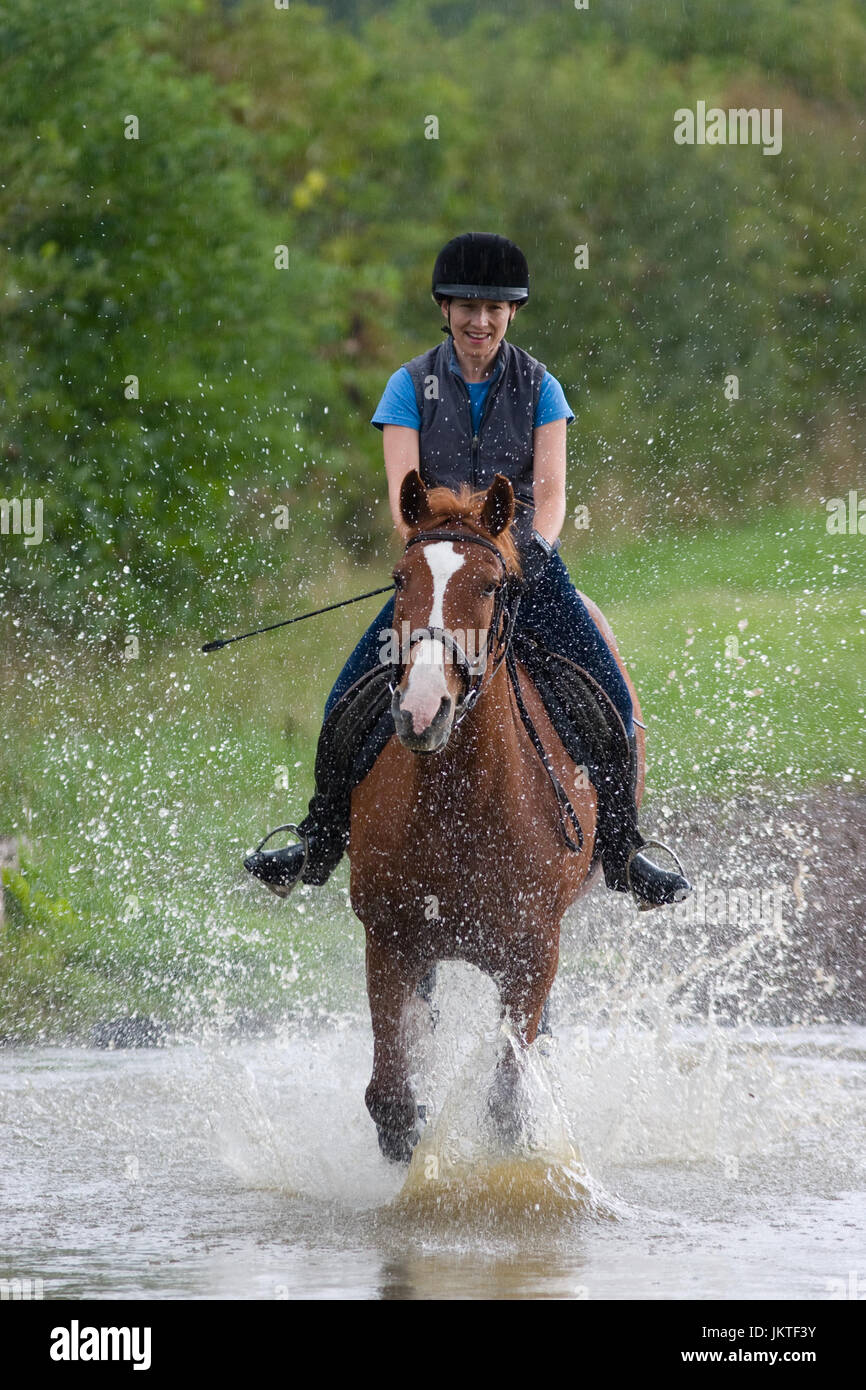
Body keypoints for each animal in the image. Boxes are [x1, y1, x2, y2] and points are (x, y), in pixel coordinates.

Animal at [347, 469, 645, 1162]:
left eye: (488, 585)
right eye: (400, 579)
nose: (422, 708)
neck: (461, 804)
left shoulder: (533, 953)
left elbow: (508, 1100)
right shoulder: (390, 943)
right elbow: (392, 1101)